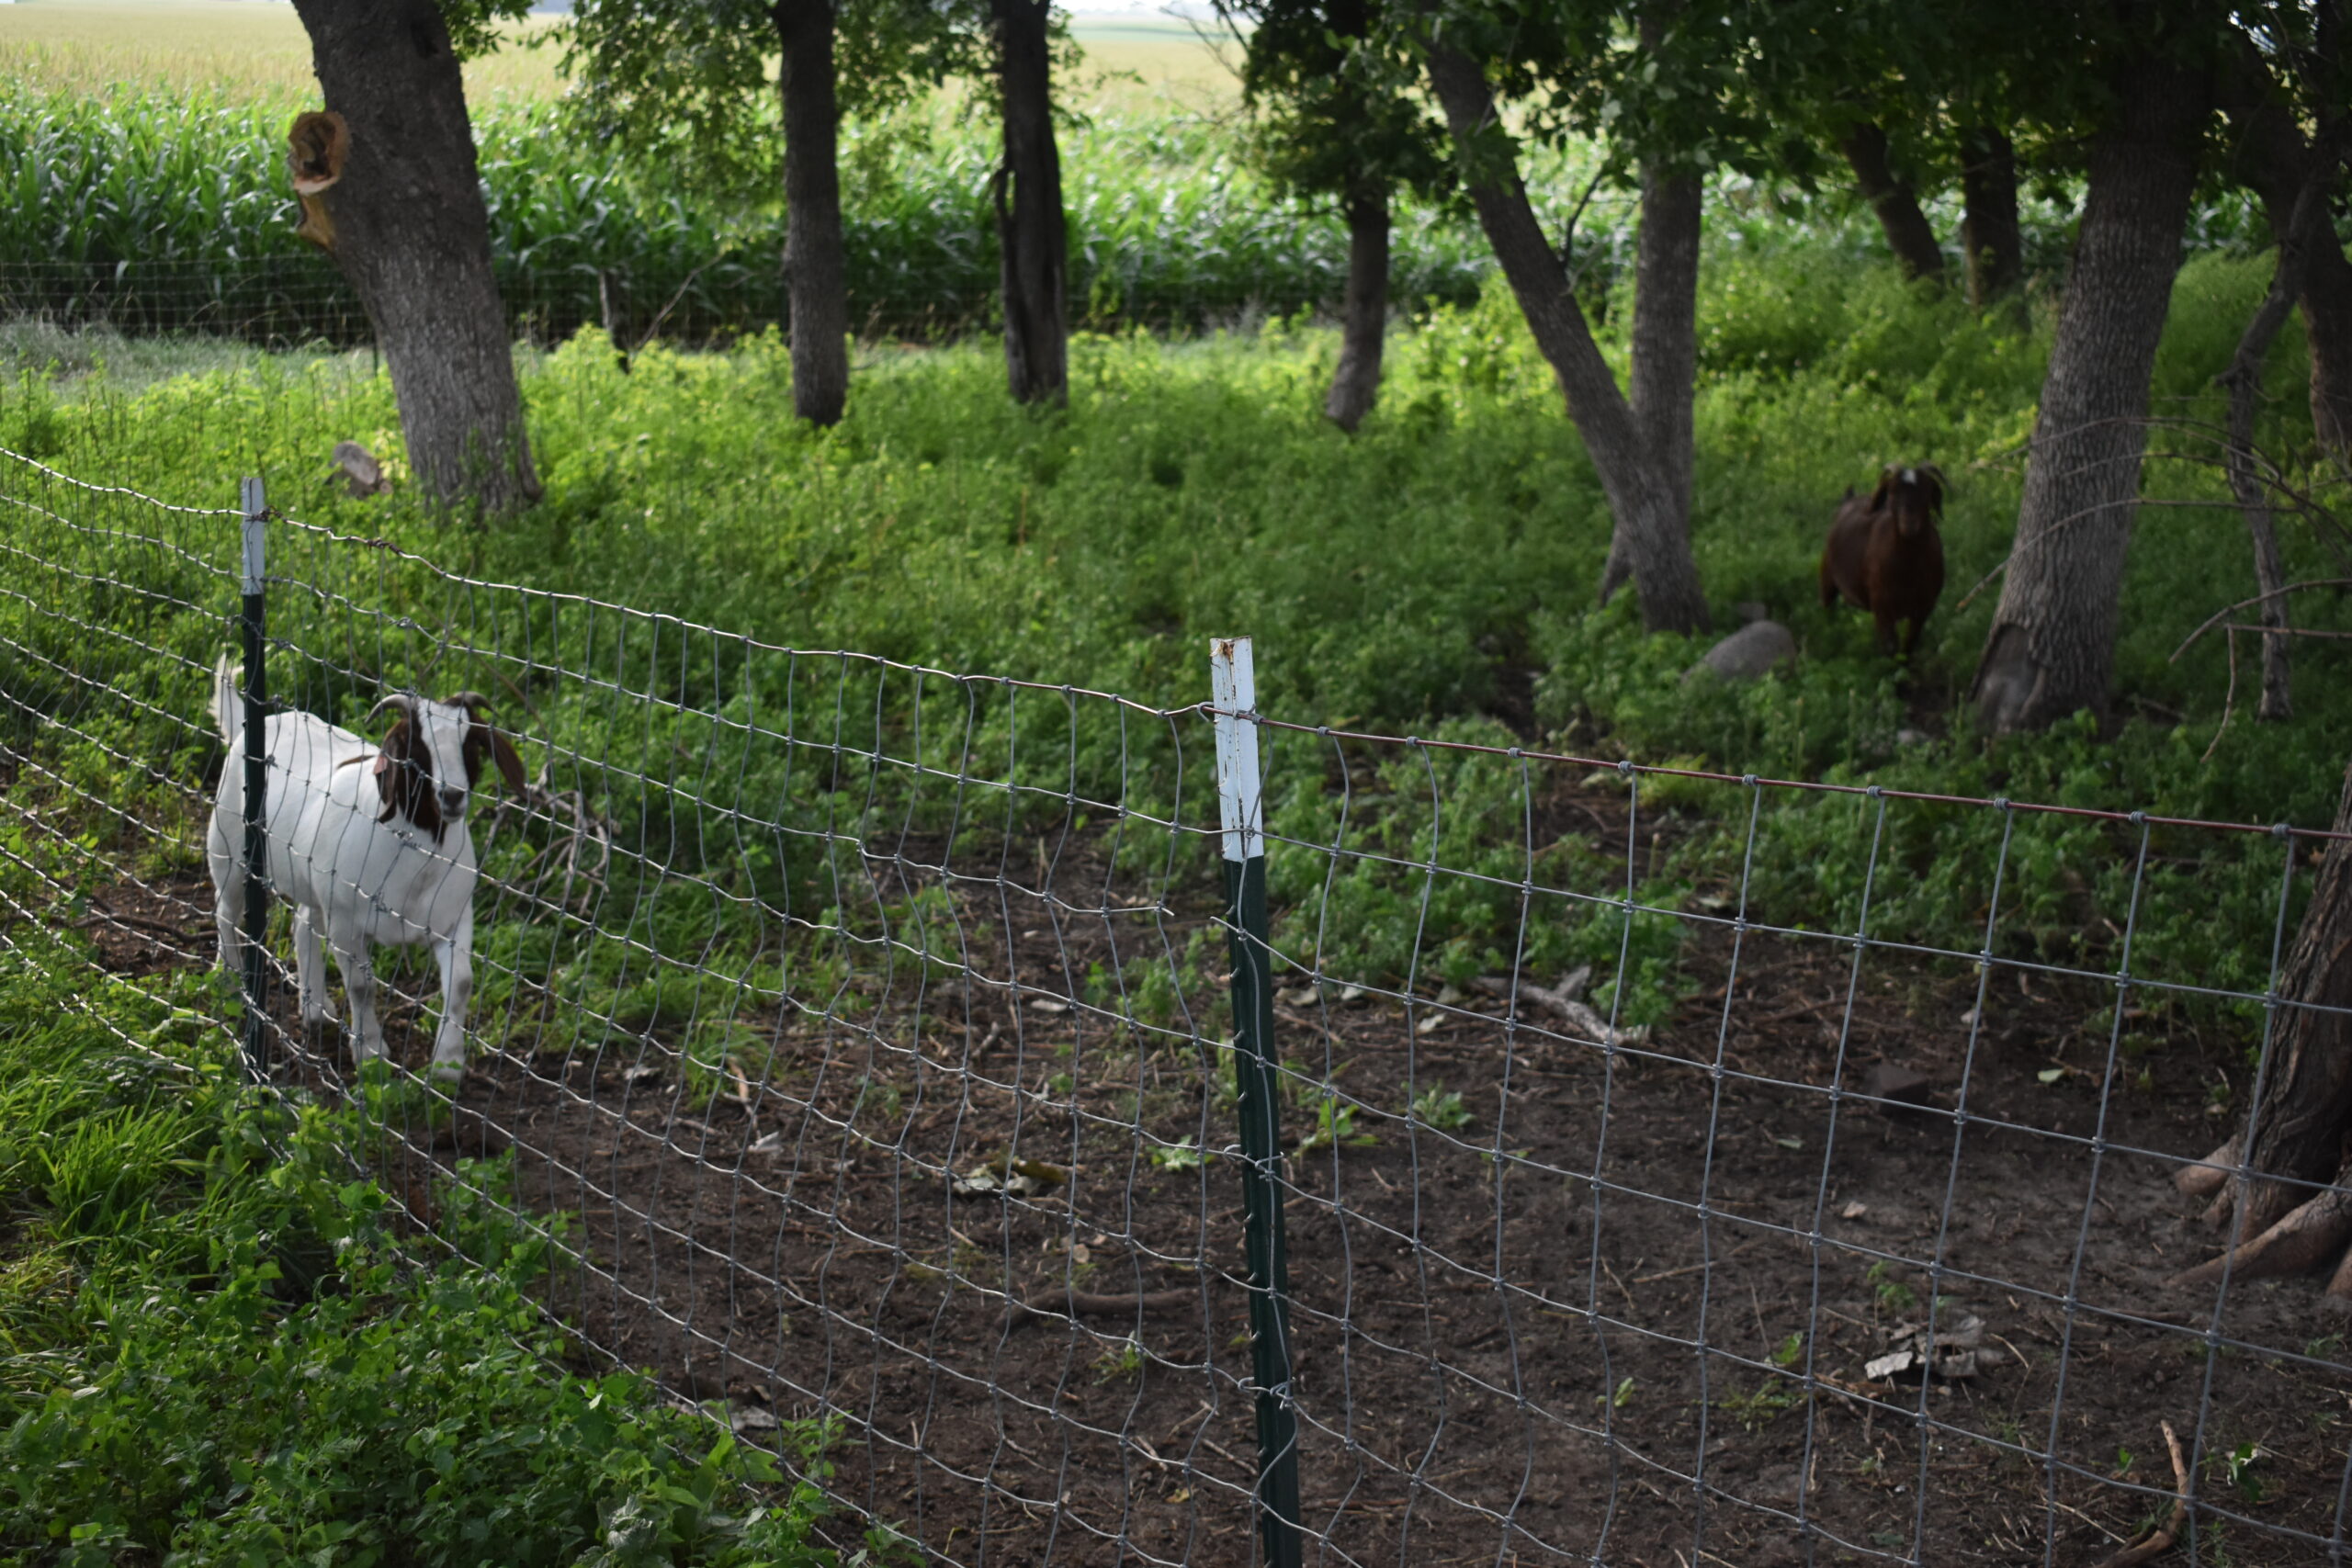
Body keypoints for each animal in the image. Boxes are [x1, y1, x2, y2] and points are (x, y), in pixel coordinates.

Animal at [206, 656, 525, 1079]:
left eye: (471, 742)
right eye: (413, 746)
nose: (453, 796)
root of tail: (251, 725)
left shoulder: (455, 919)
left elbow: (460, 984)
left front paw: (448, 1064)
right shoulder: (347, 923)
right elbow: (362, 986)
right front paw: (371, 1053)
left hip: (313, 880)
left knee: (303, 922)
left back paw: (315, 1009)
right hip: (227, 849)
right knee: (225, 910)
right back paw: (227, 980)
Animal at [1819, 463, 1946, 658]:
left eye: (1927, 490)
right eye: (1892, 492)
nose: (1909, 523)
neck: (1909, 570)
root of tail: (1850, 499)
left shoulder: (1923, 609)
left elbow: (1908, 647)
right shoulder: (1882, 608)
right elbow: (1890, 648)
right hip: (1827, 576)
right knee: (1827, 607)